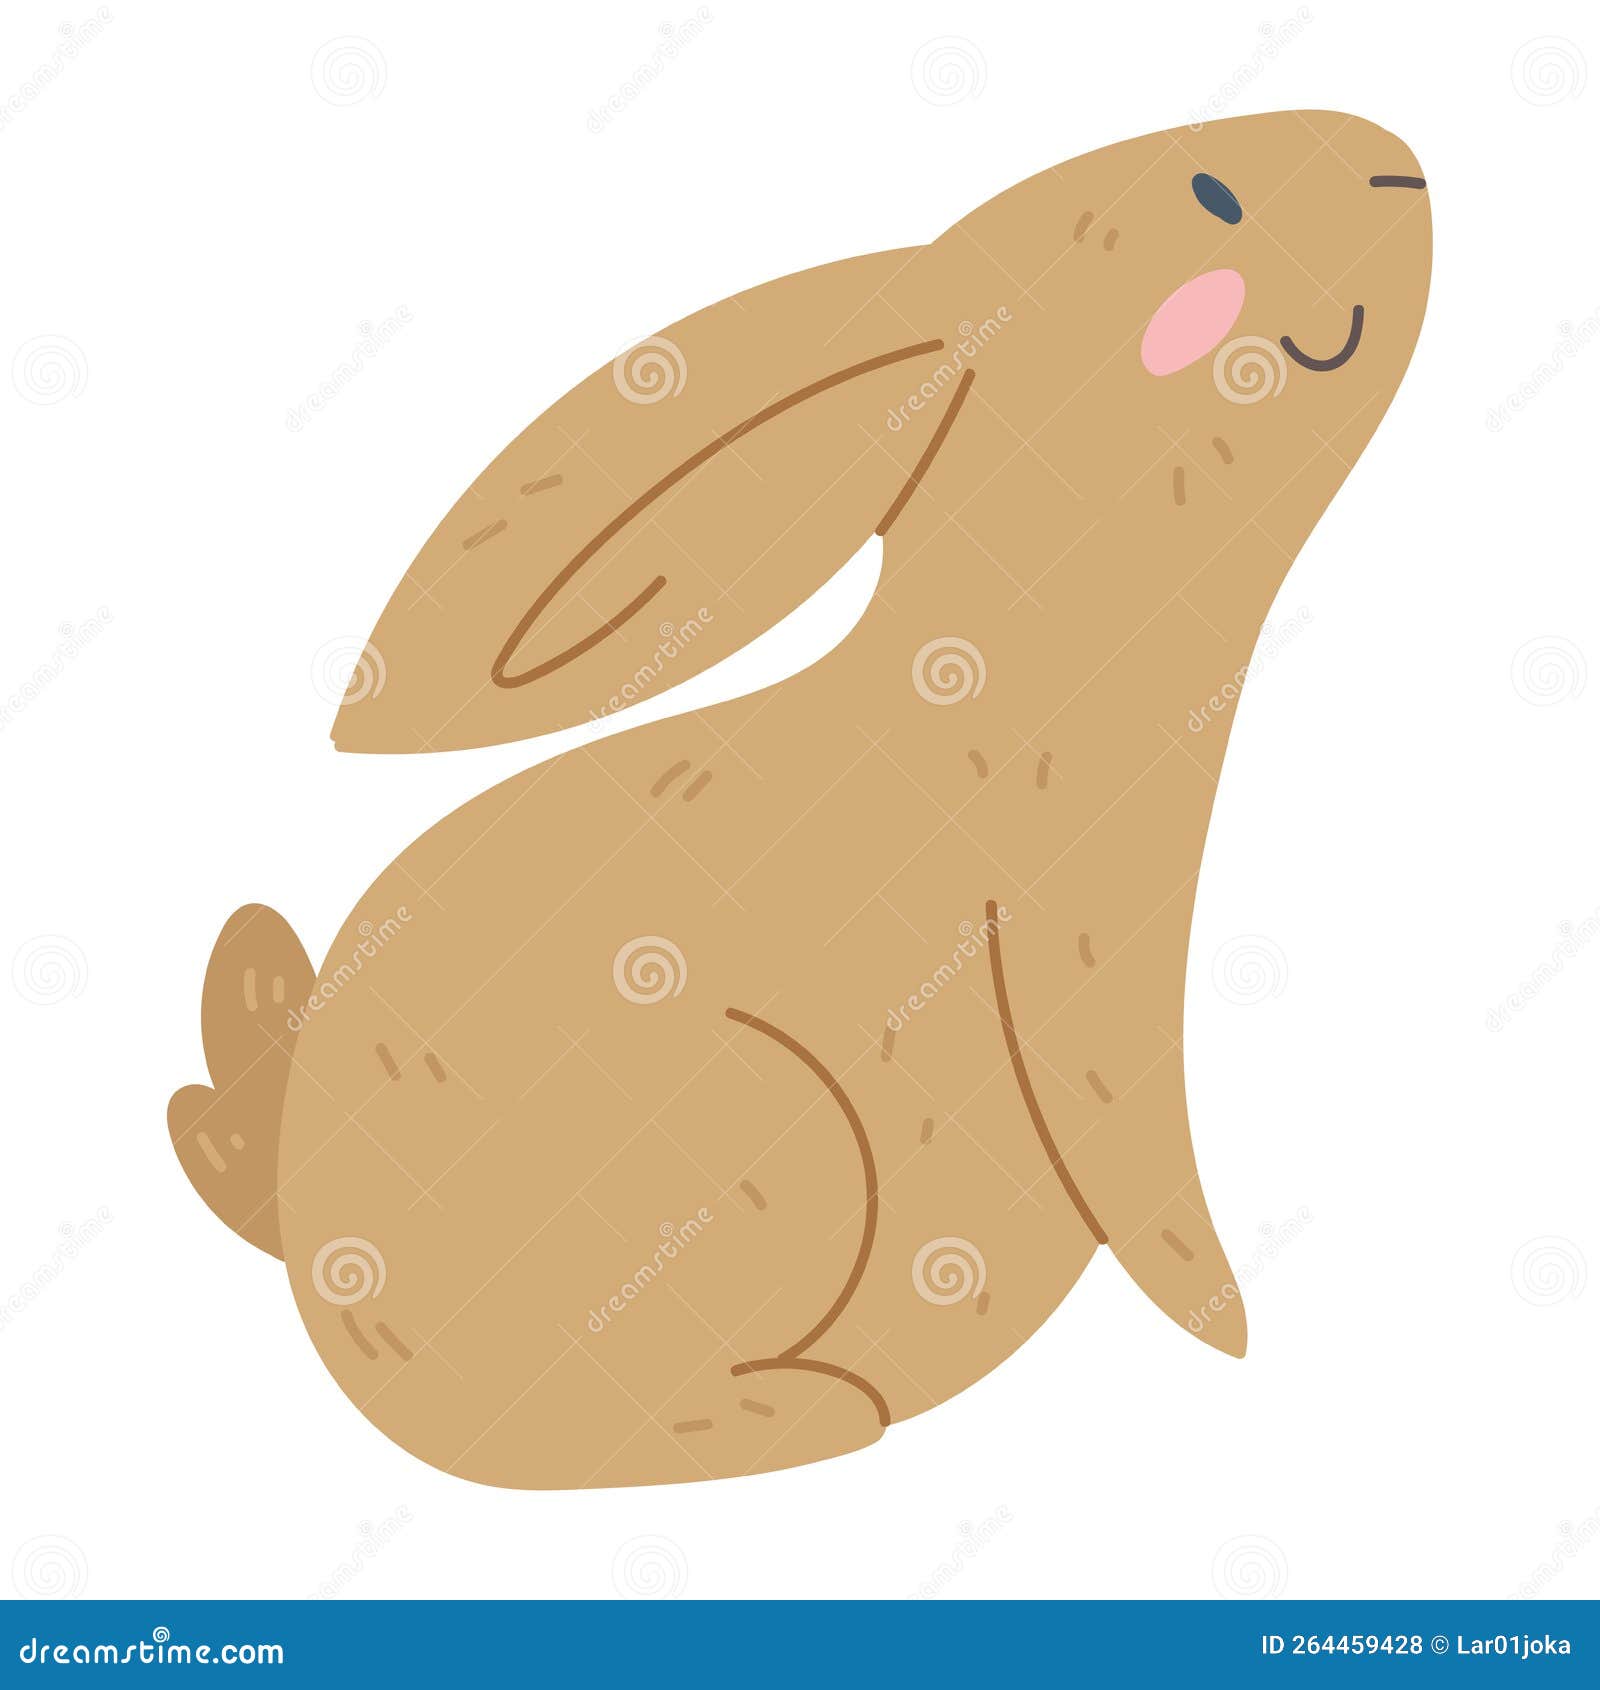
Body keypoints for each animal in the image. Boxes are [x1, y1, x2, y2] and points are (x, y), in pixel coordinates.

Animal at [169, 111, 1430, 1488]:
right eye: (1211, 198)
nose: (1397, 161)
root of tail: (302, 1248)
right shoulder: (1083, 973)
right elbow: (1139, 1166)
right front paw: (1218, 1313)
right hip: (766, 1138)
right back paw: (812, 1411)